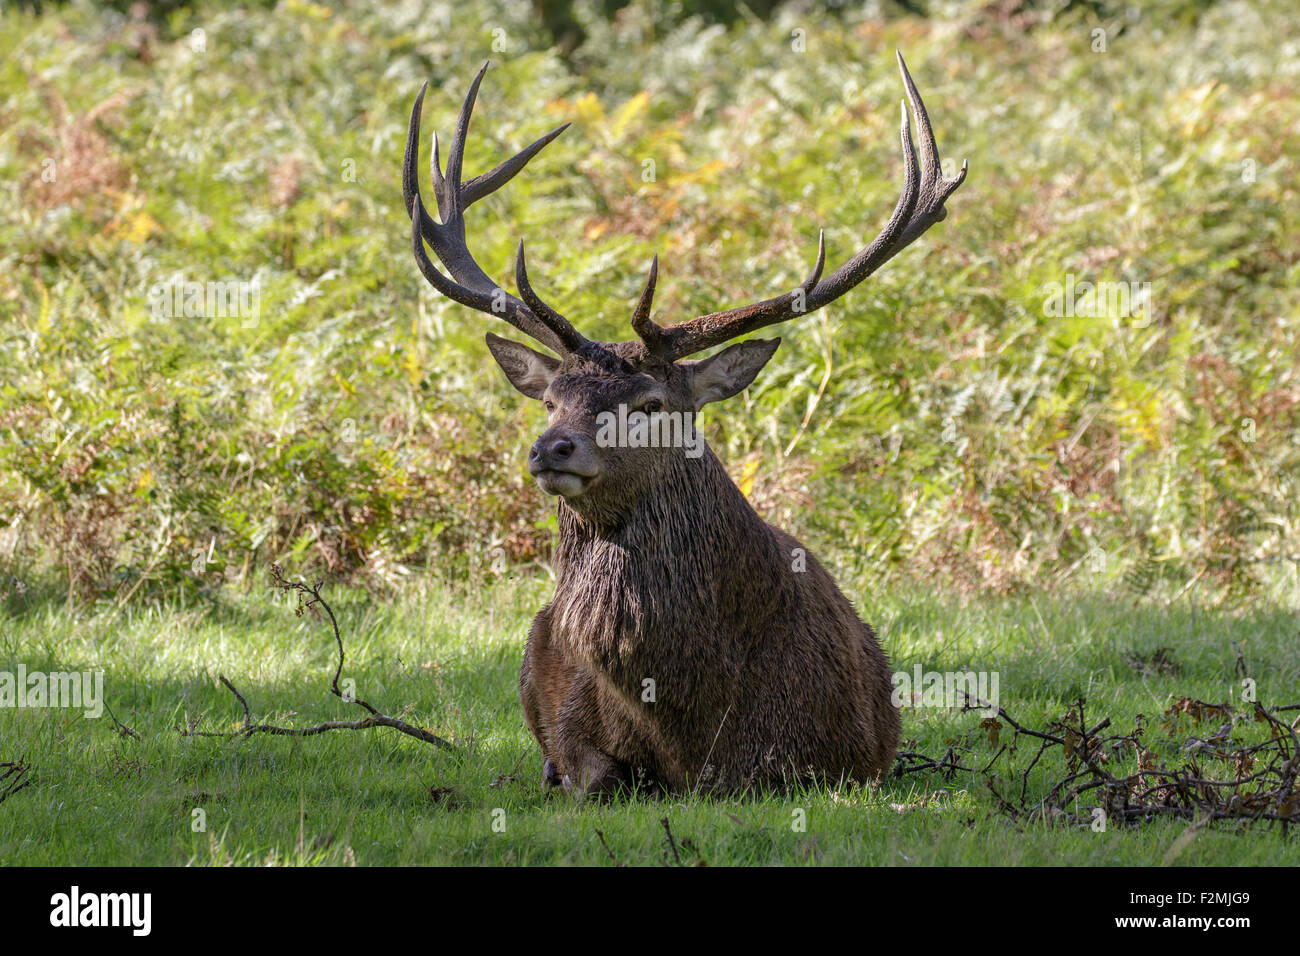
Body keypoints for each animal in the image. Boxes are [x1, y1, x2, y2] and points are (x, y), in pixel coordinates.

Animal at [402, 54, 966, 796]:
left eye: (651, 405)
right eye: (550, 398)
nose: (551, 448)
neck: (695, 725)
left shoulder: (840, 755)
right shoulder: (579, 730)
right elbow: (591, 773)